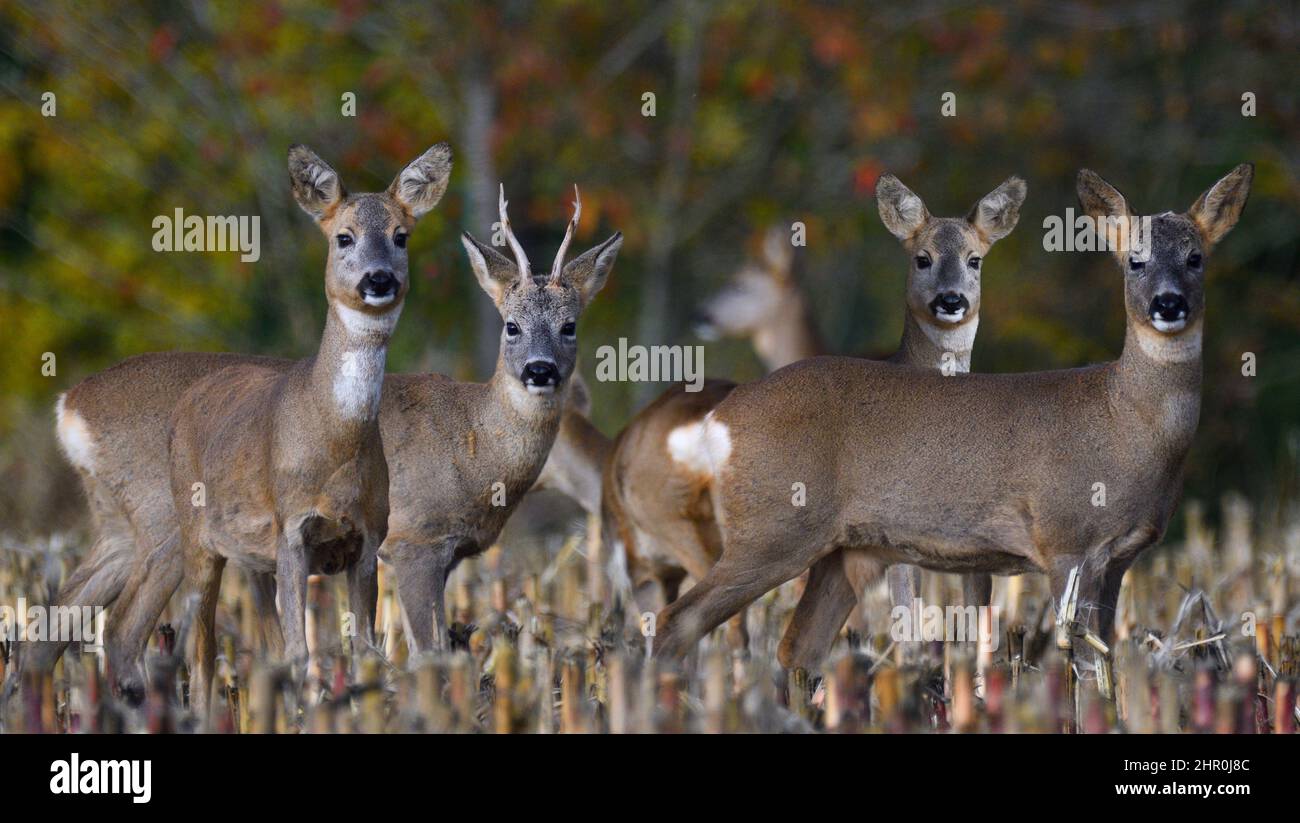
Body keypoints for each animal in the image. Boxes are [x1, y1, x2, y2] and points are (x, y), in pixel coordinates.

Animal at [16, 144, 453, 704]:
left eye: (402, 235)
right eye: (344, 236)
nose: (380, 280)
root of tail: (68, 405)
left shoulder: (369, 537)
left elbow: (366, 650)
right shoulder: (295, 533)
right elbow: (299, 650)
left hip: (116, 519)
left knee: (56, 621)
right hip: (166, 521)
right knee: (136, 632)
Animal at [648, 165, 1253, 679]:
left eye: (1196, 257)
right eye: (1134, 260)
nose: (1168, 304)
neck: (1124, 418)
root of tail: (720, 417)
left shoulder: (1121, 558)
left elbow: (1109, 665)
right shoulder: (1064, 538)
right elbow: (1082, 666)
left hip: (845, 551)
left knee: (798, 647)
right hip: (770, 528)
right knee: (677, 624)